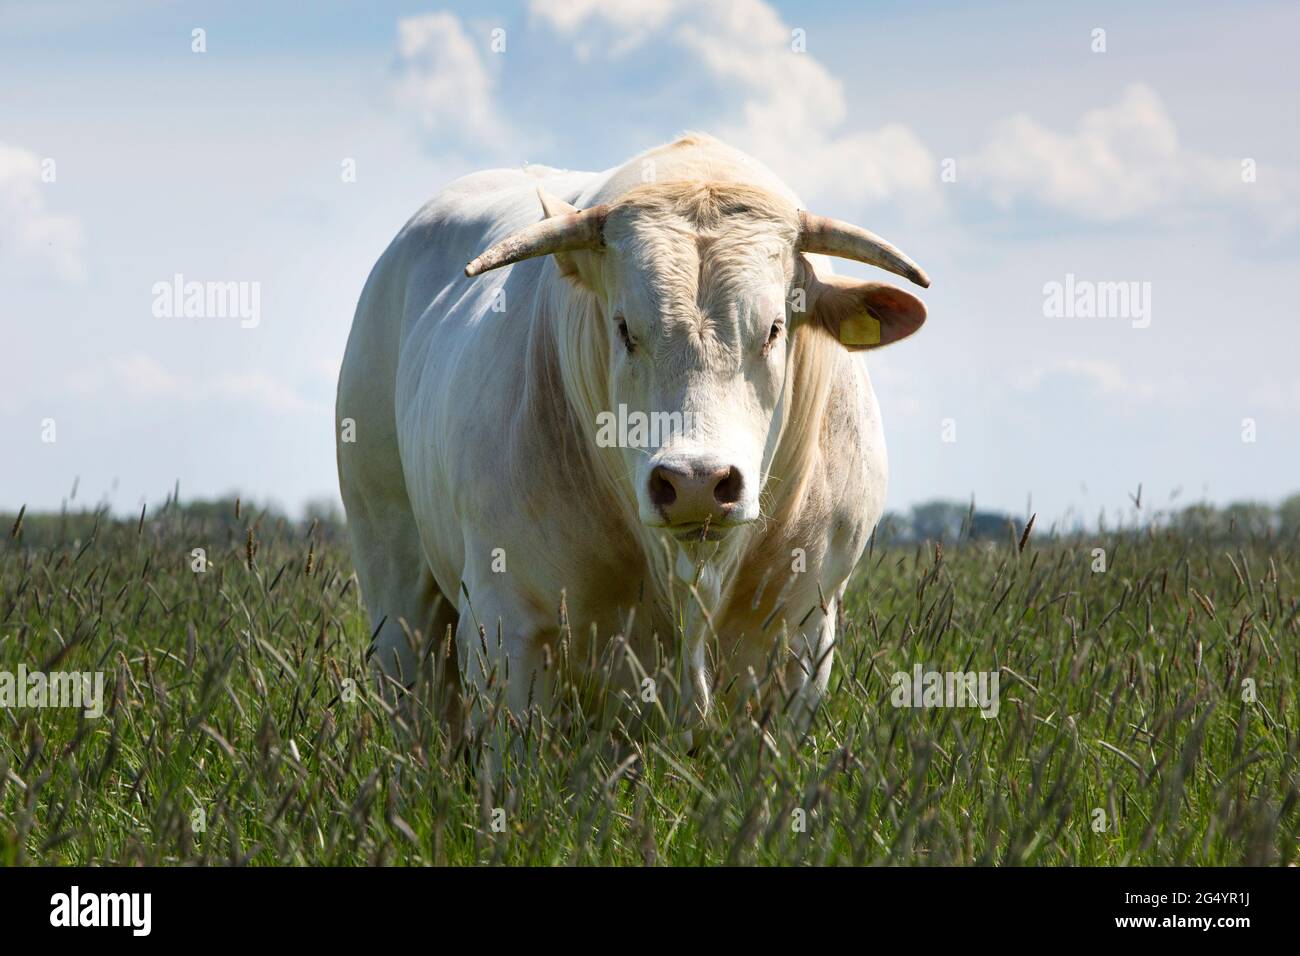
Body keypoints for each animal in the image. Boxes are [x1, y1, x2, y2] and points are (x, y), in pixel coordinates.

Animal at [336, 134, 929, 735]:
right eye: (624, 329)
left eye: (774, 329)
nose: (696, 482)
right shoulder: (506, 627)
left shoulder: (803, 634)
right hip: (394, 577)